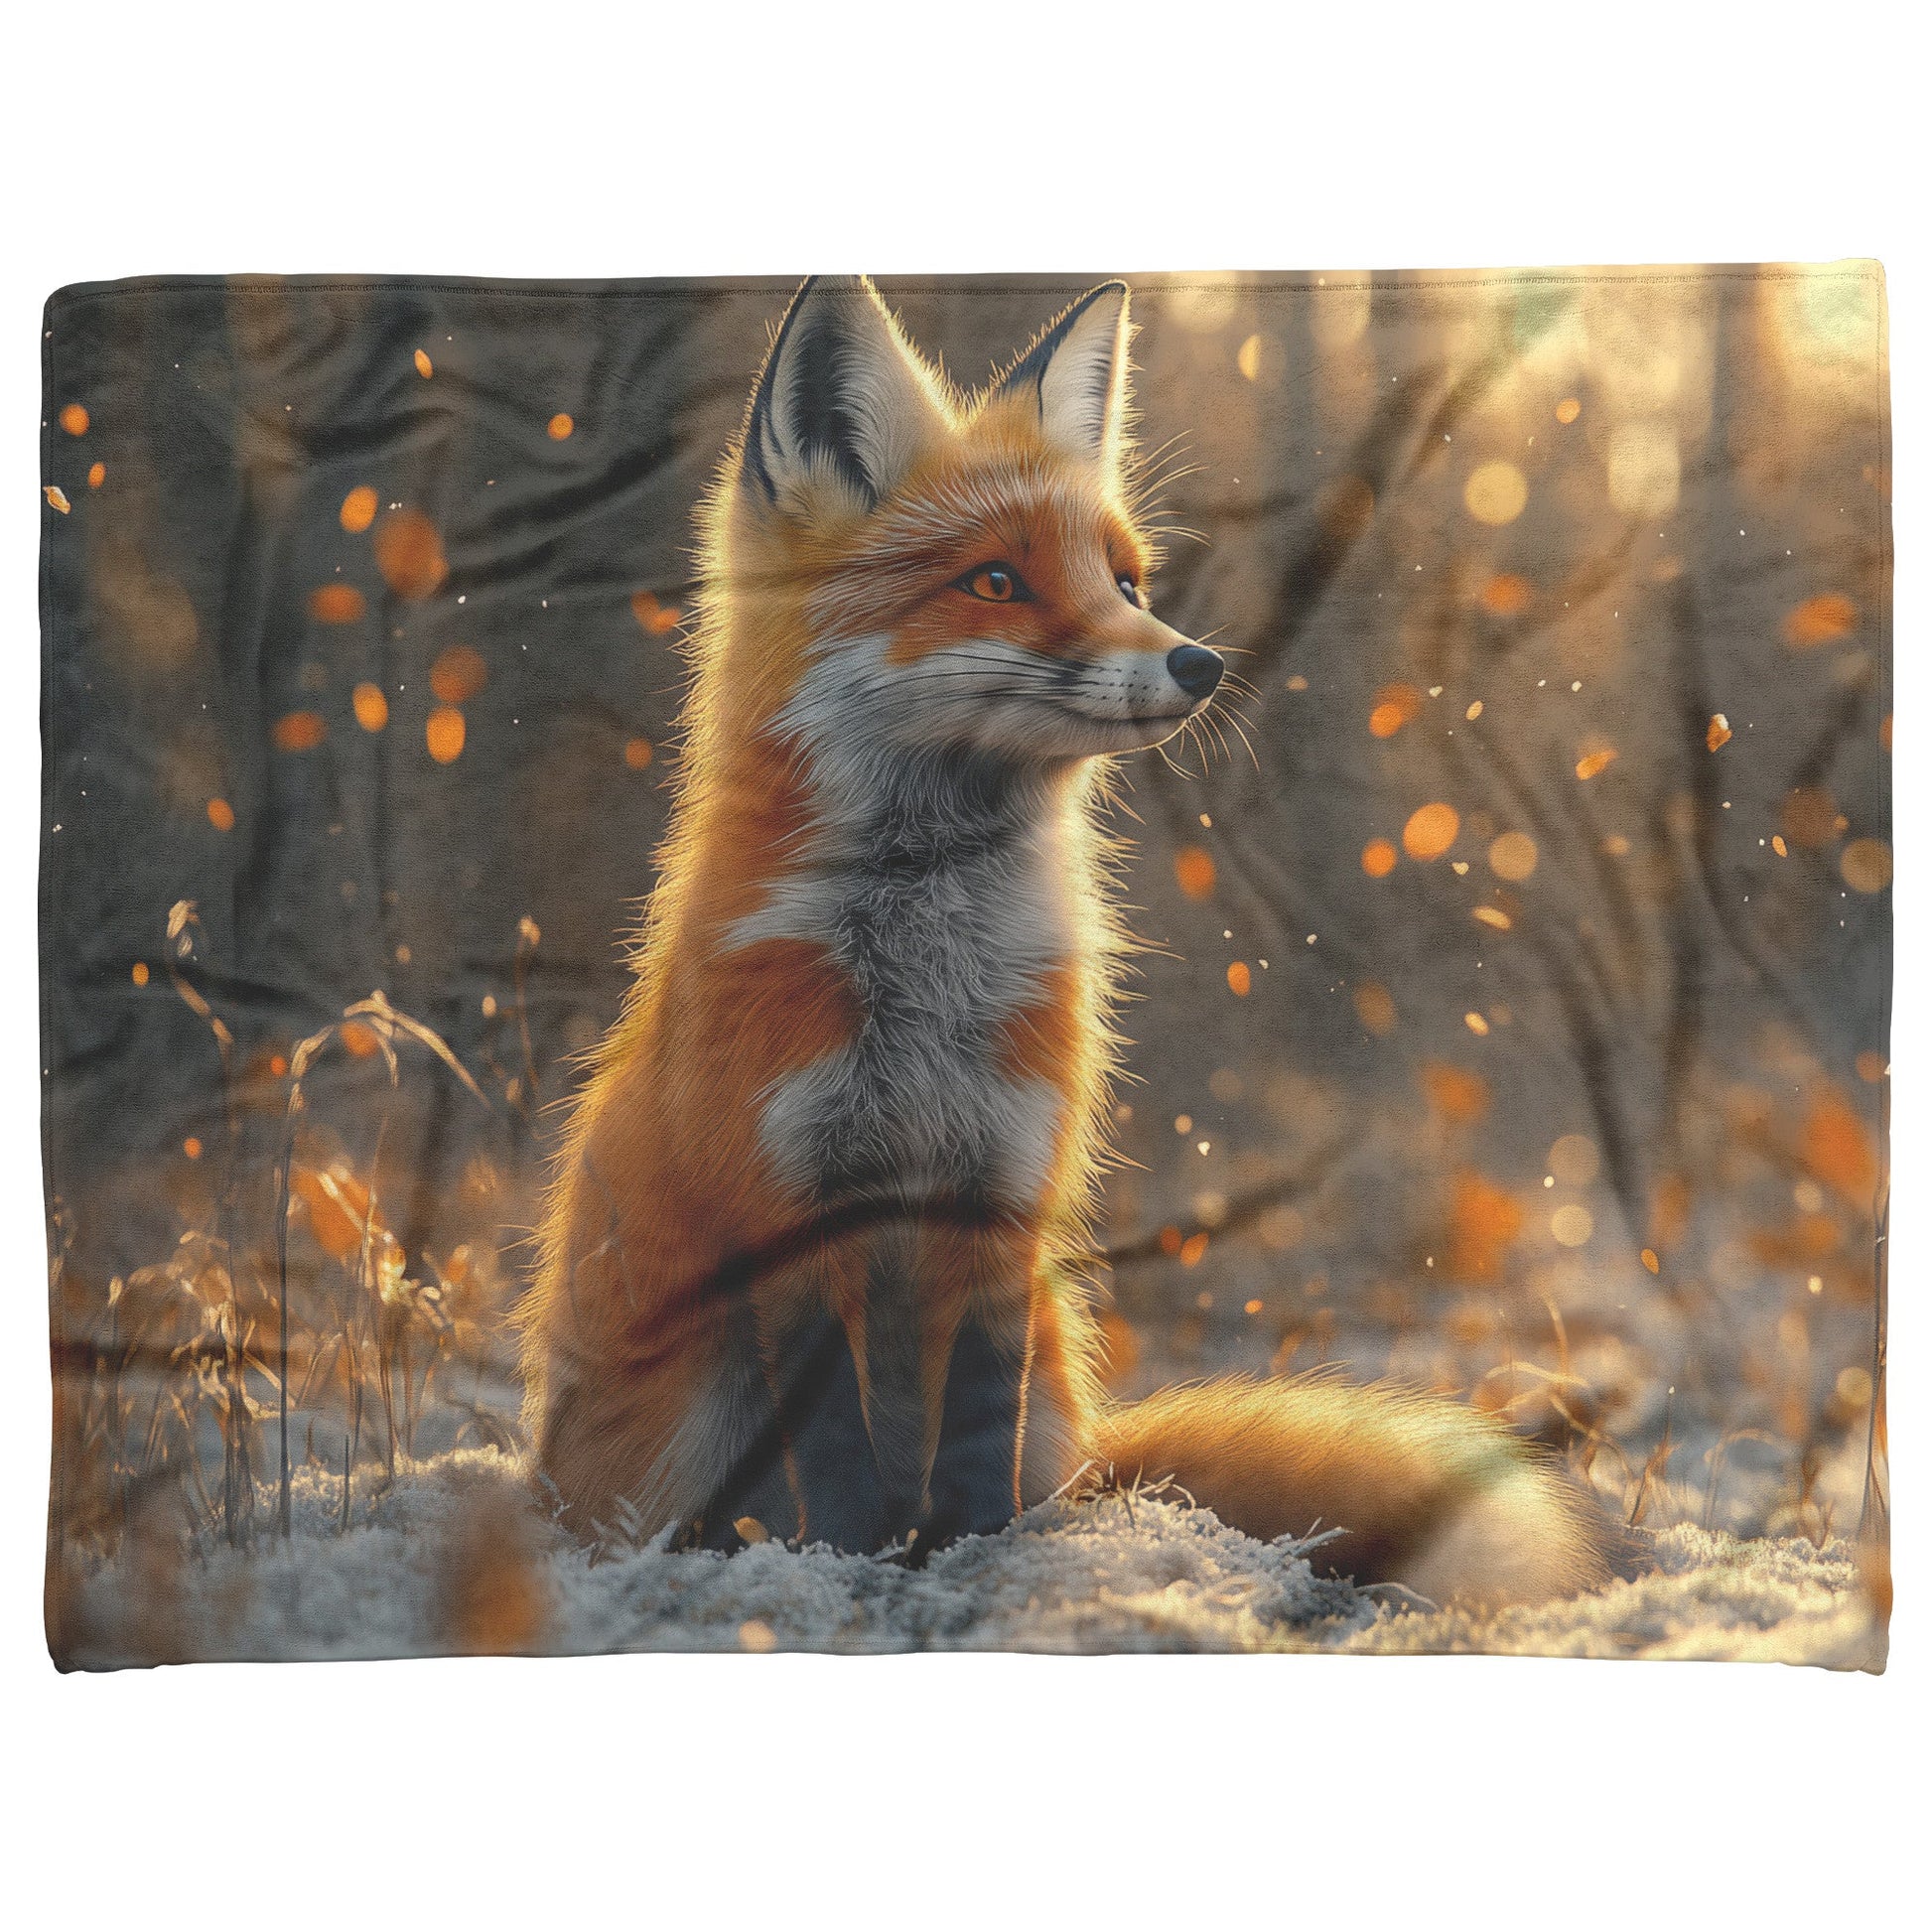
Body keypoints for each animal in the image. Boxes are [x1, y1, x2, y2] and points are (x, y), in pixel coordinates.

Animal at [519, 275, 1617, 1606]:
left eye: (1126, 584)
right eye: (994, 581)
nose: (1199, 662)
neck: (928, 979)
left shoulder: (1003, 1195)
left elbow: (973, 1444)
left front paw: (980, 1566)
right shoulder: (791, 1215)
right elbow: (834, 1459)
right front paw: (849, 1575)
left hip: (1049, 1363)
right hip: (685, 1415)